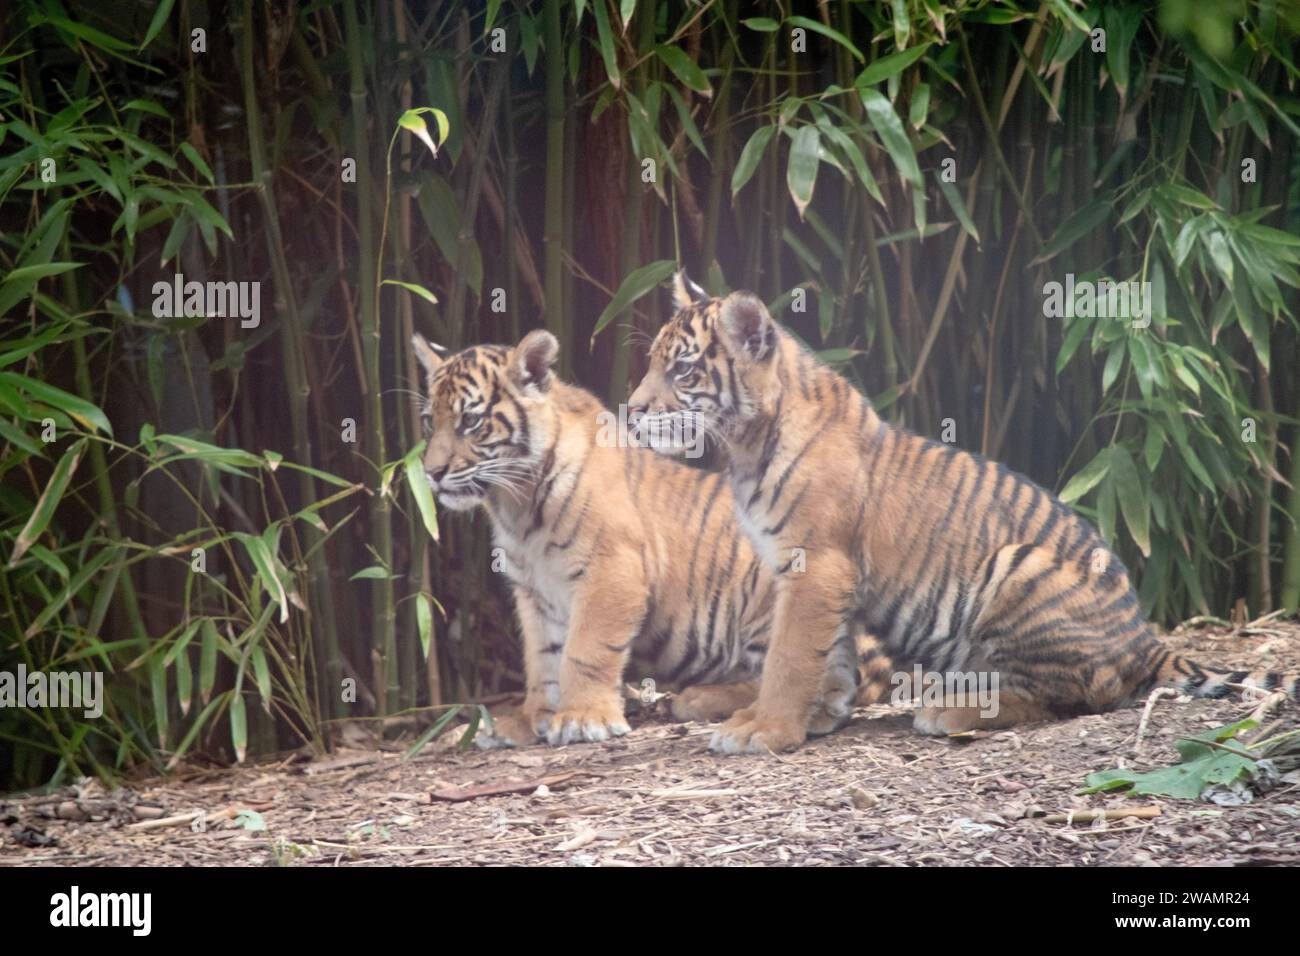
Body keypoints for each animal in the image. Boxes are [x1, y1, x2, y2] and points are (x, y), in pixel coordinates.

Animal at [410, 329, 884, 747]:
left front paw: (582, 718)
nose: (431, 473)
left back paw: (699, 700)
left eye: (470, 421)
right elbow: (542, 660)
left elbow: (585, 651)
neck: (514, 502)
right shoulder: (534, 593)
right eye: (428, 422)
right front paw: (529, 721)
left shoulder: (611, 570)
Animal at [626, 272, 1298, 755]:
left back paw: (950, 710)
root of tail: (1144, 641)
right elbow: (832, 657)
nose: (630, 411)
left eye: (682, 369)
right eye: (652, 362)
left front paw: (763, 729)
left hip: (1020, 567)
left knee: (1074, 695)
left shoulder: (816, 565)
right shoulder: (821, 575)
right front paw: (819, 716)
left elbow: (790, 657)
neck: (743, 445)